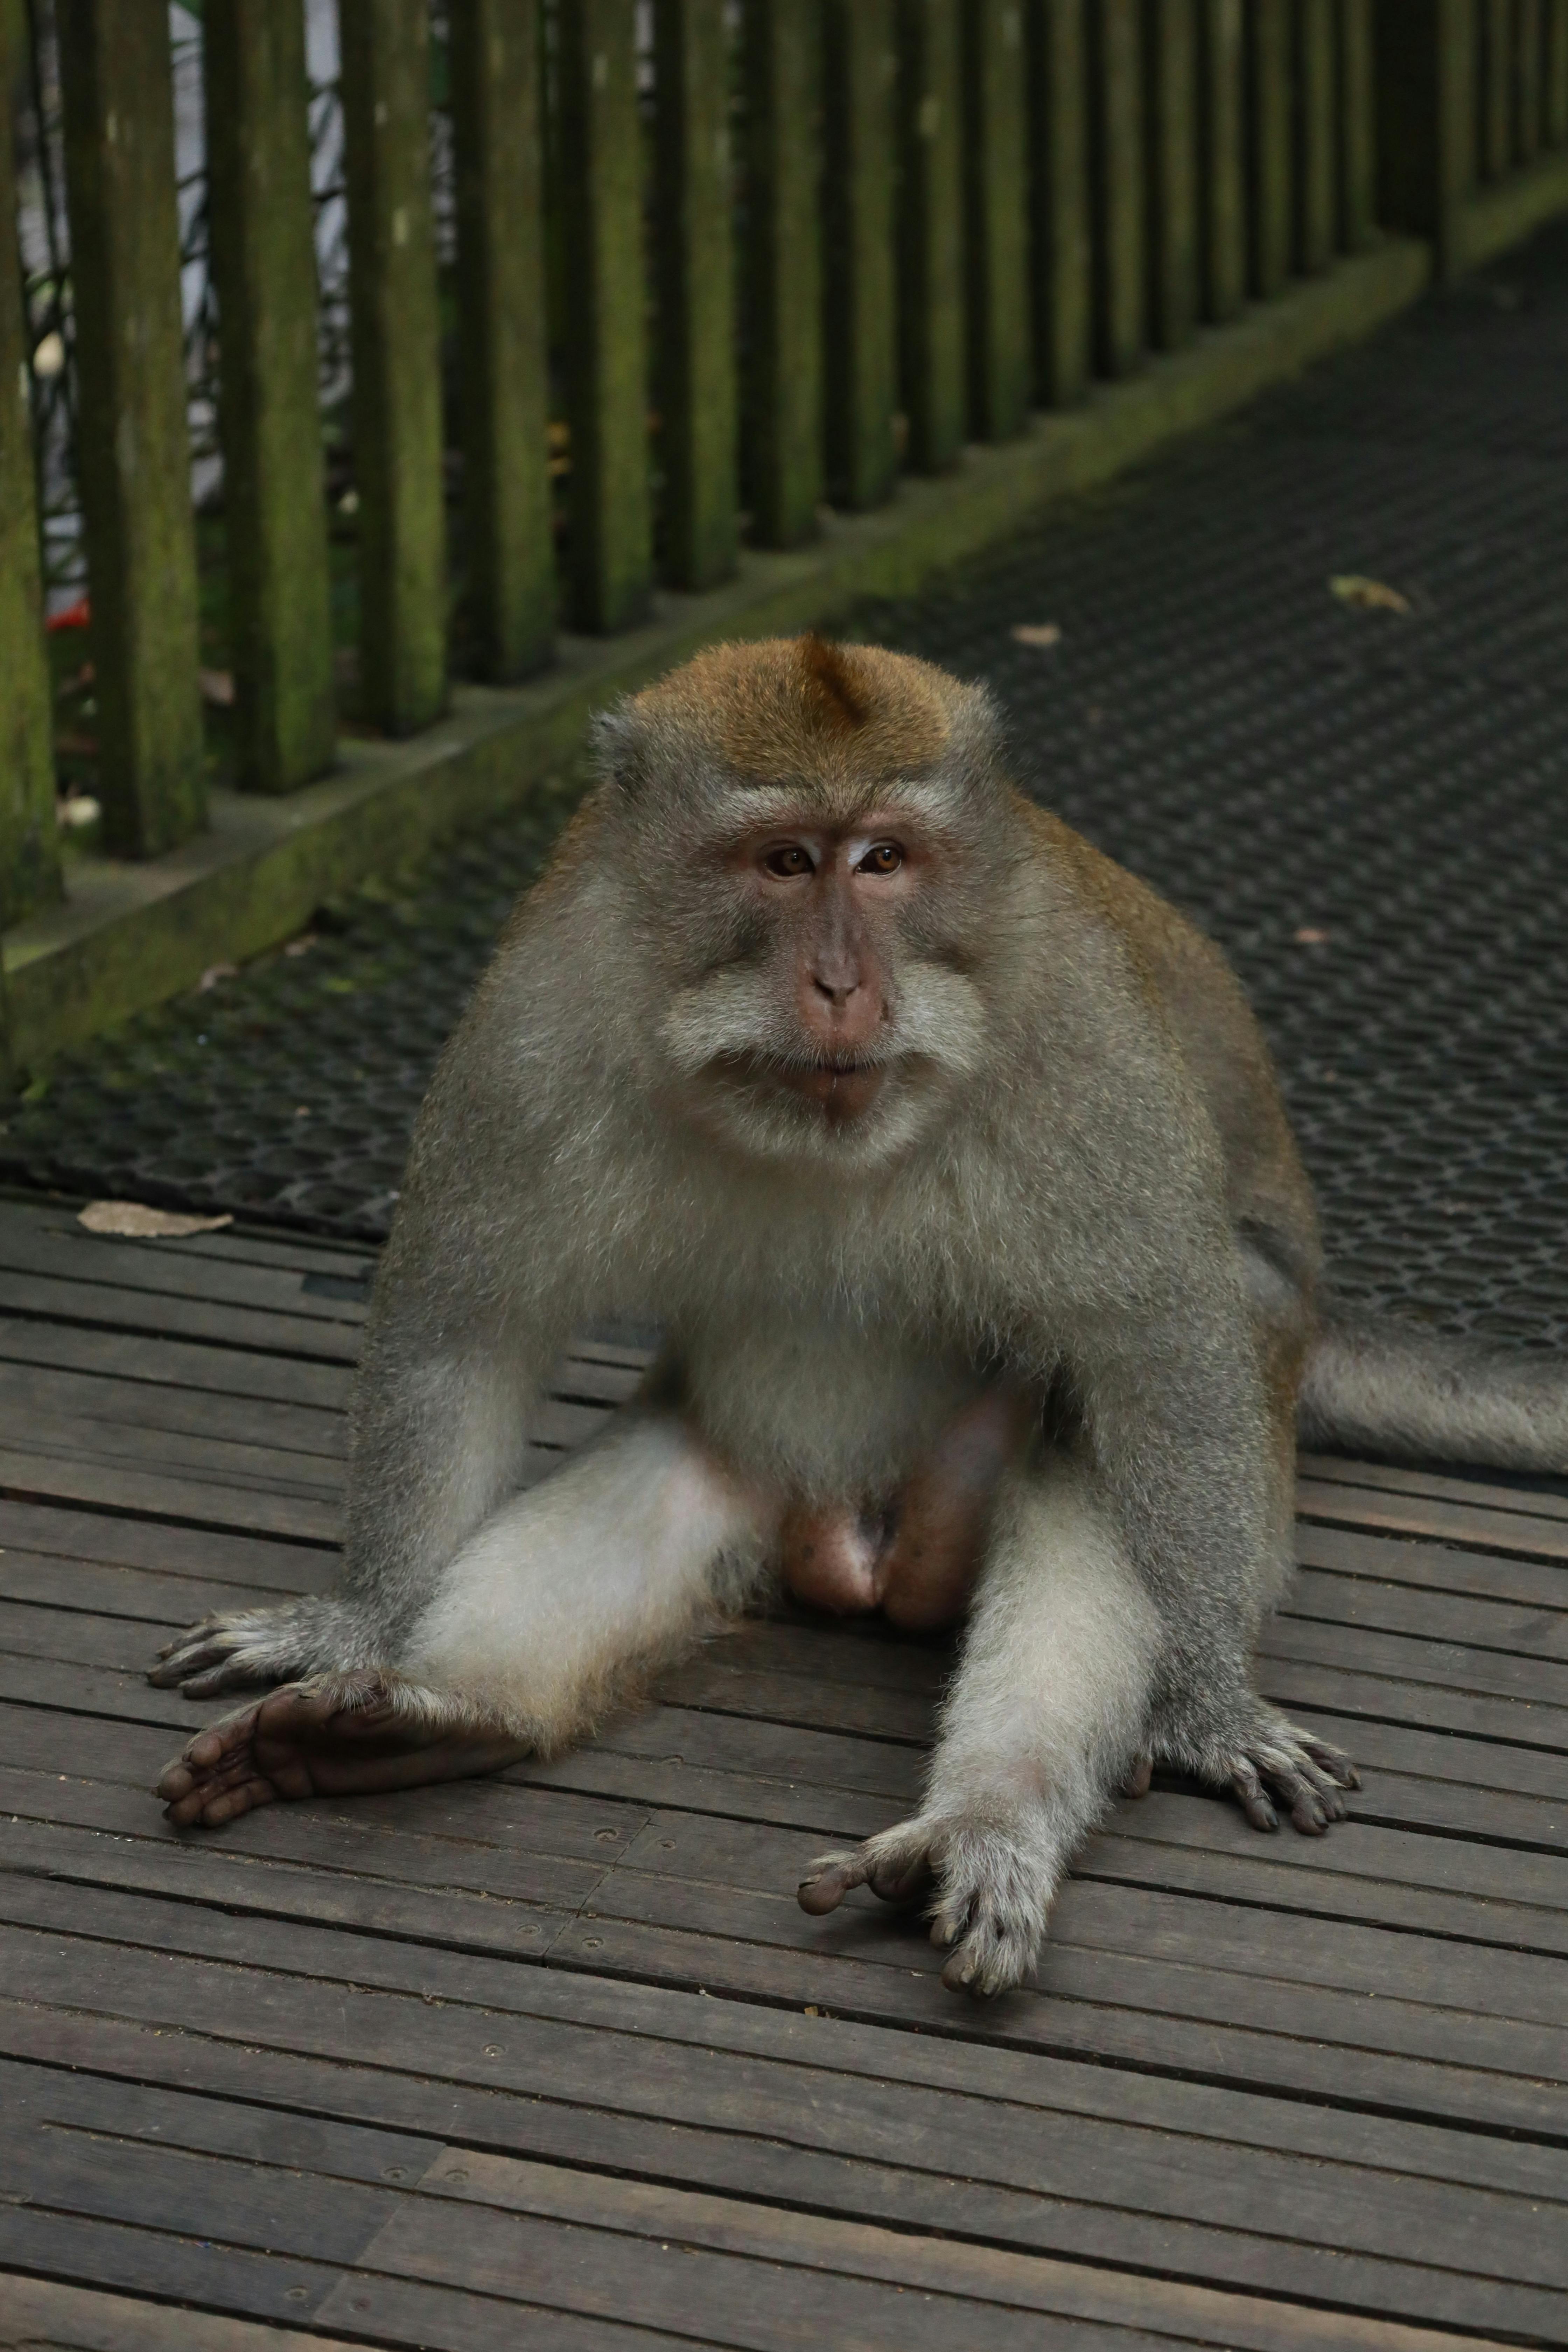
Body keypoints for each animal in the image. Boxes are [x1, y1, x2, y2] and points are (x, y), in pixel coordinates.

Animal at [150, 634, 1568, 1997]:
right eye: (784, 861)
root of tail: (866, 1547)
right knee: (662, 1492)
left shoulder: (1081, 1037)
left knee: (1104, 1450)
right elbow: (465, 1320)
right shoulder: (541, 1007)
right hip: (753, 1477)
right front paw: (354, 1620)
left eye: (884, 859)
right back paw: (422, 1717)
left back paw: (985, 1818)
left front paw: (1212, 1700)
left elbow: (1161, 1350)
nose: (839, 983)